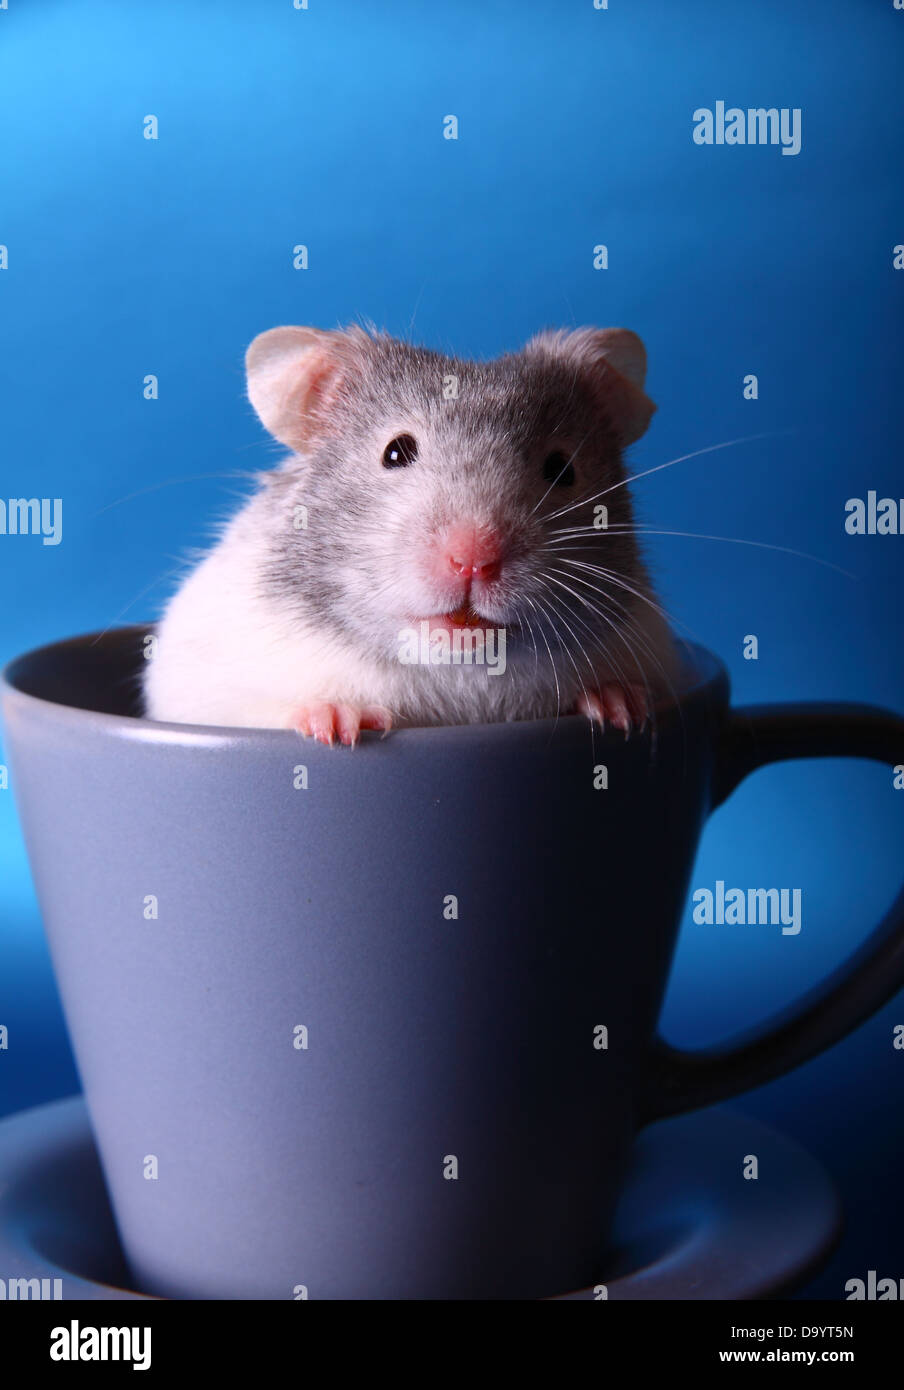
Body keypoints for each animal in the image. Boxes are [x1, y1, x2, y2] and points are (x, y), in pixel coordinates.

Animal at [143, 324, 677, 743]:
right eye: (395, 452)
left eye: (562, 469)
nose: (473, 560)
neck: (457, 667)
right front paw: (337, 720)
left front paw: (620, 704)